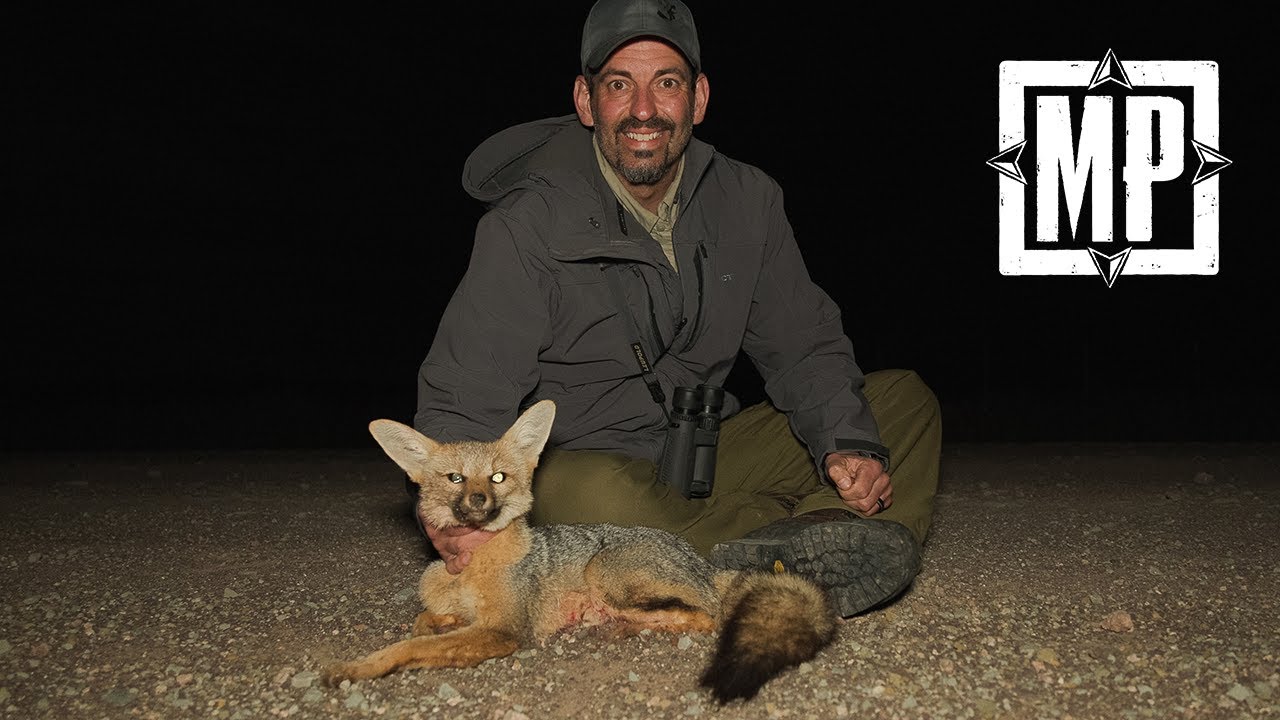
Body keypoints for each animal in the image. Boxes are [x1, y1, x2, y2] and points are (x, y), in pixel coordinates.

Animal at [321, 399, 838, 703]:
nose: (479, 501)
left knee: (706, 615)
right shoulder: (463, 613)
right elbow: (425, 623)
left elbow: (412, 645)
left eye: (497, 477)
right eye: (455, 479)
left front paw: (359, 665)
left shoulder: (506, 631)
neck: (469, 569)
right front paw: (436, 623)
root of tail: (702, 562)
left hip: (605, 574)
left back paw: (622, 626)